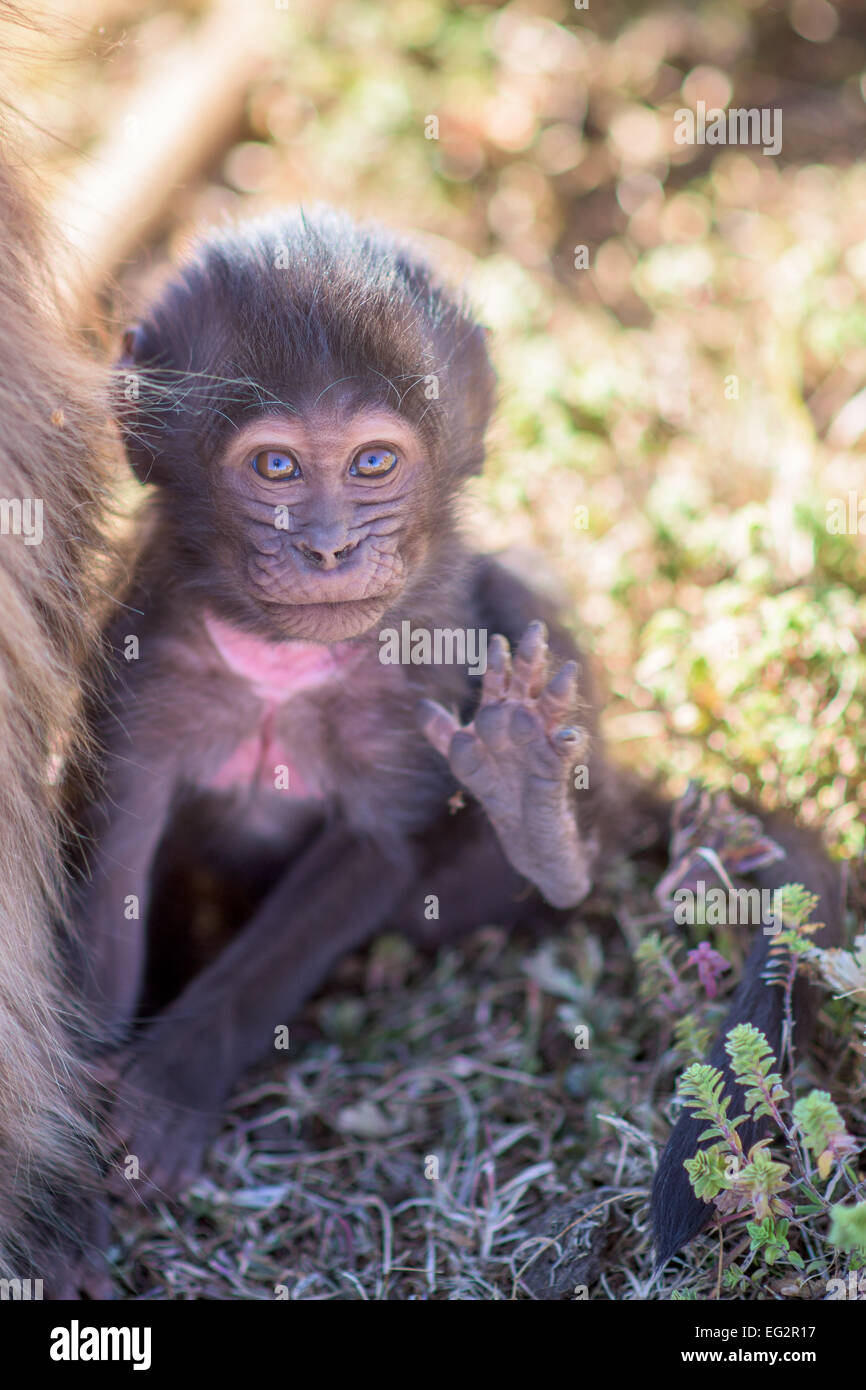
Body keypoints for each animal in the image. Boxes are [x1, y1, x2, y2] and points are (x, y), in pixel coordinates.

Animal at [62, 204, 843, 1294]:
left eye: (373, 463)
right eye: (274, 467)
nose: (329, 548)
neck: (283, 664)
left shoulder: (421, 662)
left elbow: (377, 852)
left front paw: (175, 1081)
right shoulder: (141, 654)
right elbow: (115, 857)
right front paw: (66, 1164)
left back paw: (536, 818)